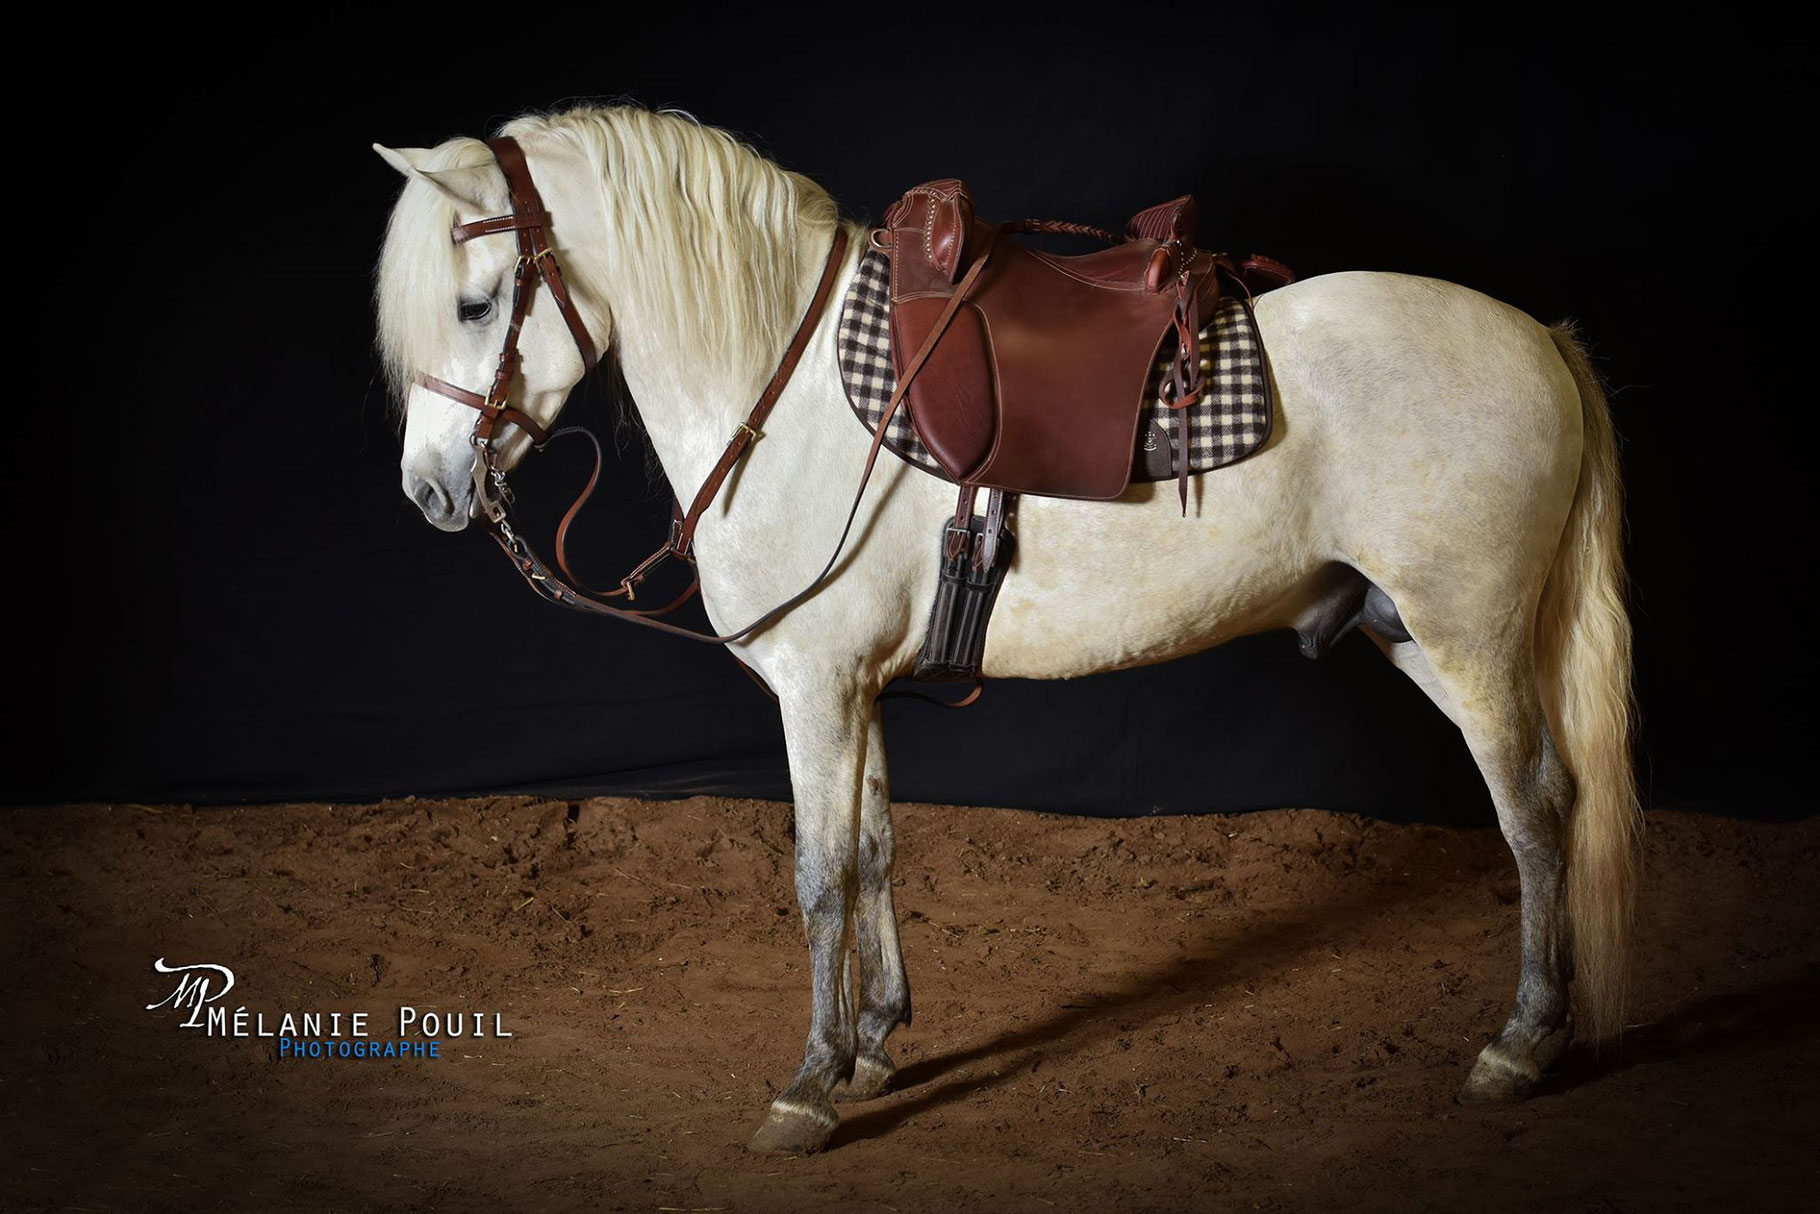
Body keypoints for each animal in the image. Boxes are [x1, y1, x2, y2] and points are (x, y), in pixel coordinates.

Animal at [373, 104, 1638, 1155]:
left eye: (477, 304)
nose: (429, 491)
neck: (784, 389)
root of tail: (1537, 335)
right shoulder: (856, 687)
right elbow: (877, 848)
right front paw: (876, 1041)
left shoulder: (814, 686)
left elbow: (819, 874)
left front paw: (808, 1084)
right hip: (1412, 632)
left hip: (1467, 636)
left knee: (1533, 807)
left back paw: (1520, 1041)